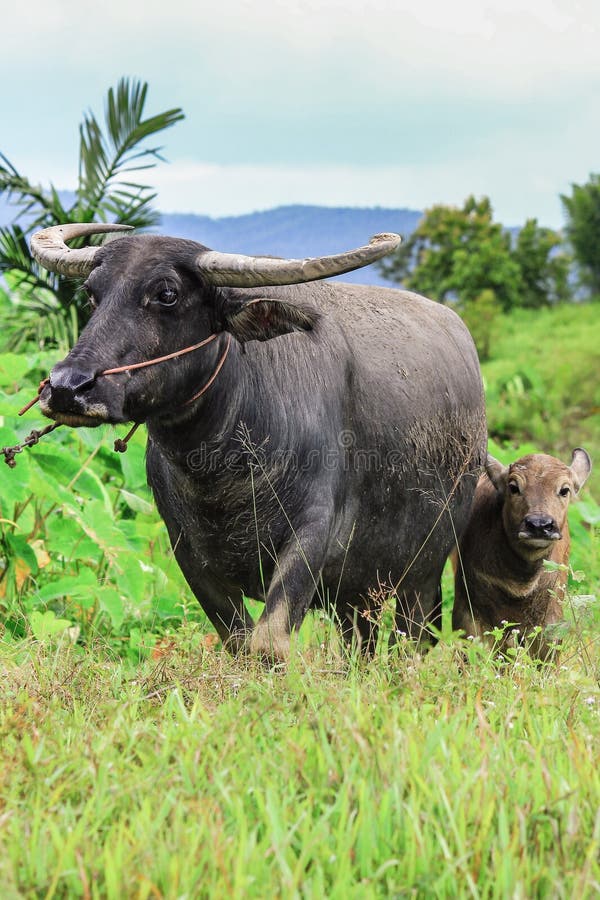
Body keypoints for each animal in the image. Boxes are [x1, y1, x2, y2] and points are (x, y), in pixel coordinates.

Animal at [31, 223, 486, 659]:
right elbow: (237, 641)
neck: (221, 466)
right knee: (362, 641)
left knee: (411, 638)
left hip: (422, 573)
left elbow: (268, 643)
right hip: (356, 594)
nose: (67, 387)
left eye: (167, 294)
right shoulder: (187, 553)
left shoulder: (313, 533)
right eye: (93, 294)